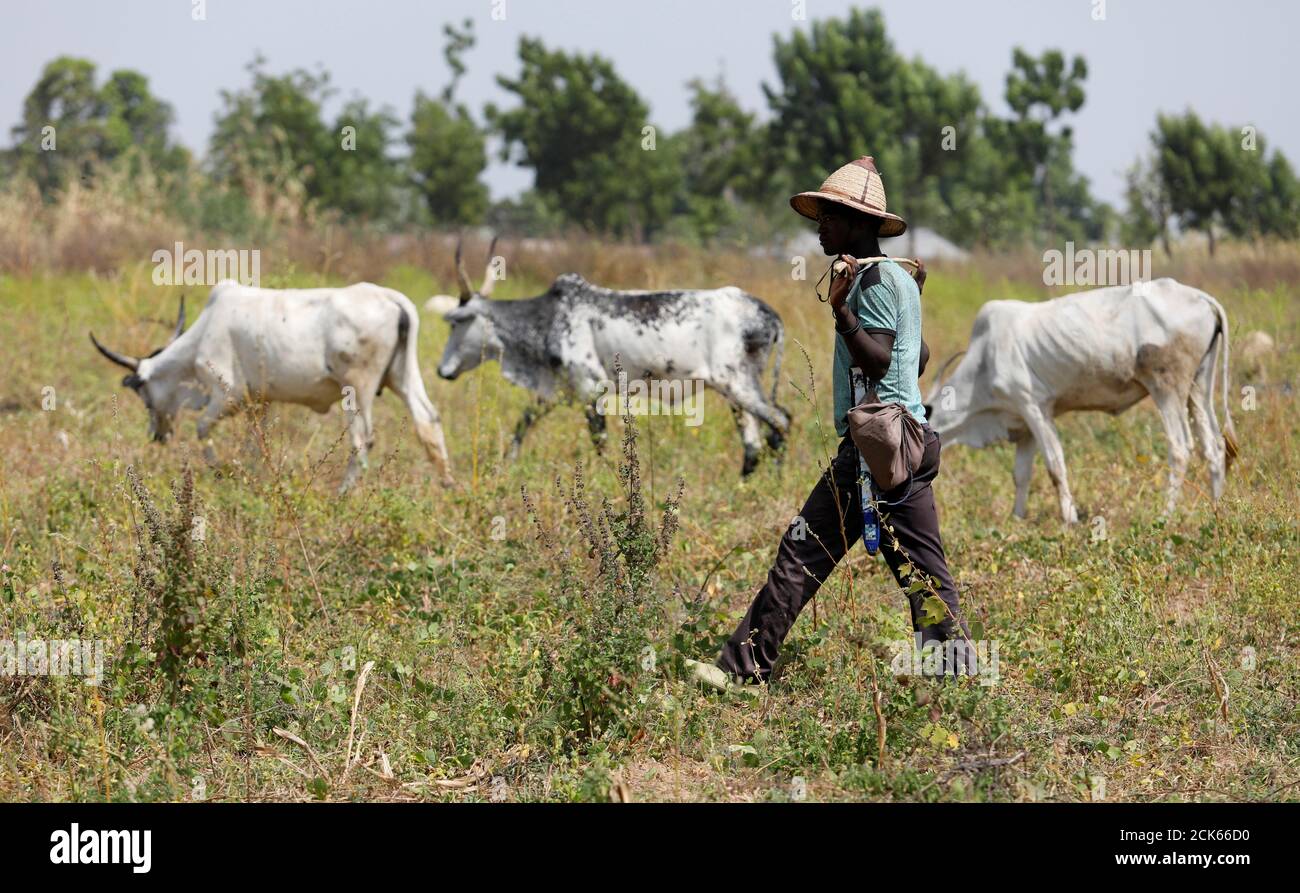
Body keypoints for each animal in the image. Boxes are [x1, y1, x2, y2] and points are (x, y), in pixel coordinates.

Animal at [90, 280, 454, 491]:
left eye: (143, 394)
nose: (157, 435)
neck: (203, 333)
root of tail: (391, 299)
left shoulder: (229, 395)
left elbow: (202, 429)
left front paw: (220, 472)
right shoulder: (260, 401)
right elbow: (256, 444)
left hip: (357, 387)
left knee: (362, 439)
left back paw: (342, 493)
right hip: (403, 377)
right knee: (428, 420)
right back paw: (448, 484)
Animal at [425, 240, 789, 475]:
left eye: (455, 322)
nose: (442, 370)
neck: (550, 316)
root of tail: (768, 313)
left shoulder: (591, 388)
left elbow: (598, 440)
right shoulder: (561, 390)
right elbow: (525, 419)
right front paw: (507, 463)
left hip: (736, 382)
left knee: (780, 420)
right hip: (736, 389)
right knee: (755, 440)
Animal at [924, 278, 1238, 523]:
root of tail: (1200, 297)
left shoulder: (1034, 407)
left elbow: (1055, 466)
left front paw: (1069, 517)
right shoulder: (1023, 424)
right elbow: (1021, 474)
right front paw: (1017, 517)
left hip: (1167, 387)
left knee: (1181, 448)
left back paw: (1165, 515)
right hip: (1198, 387)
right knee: (1214, 446)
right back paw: (1215, 509)